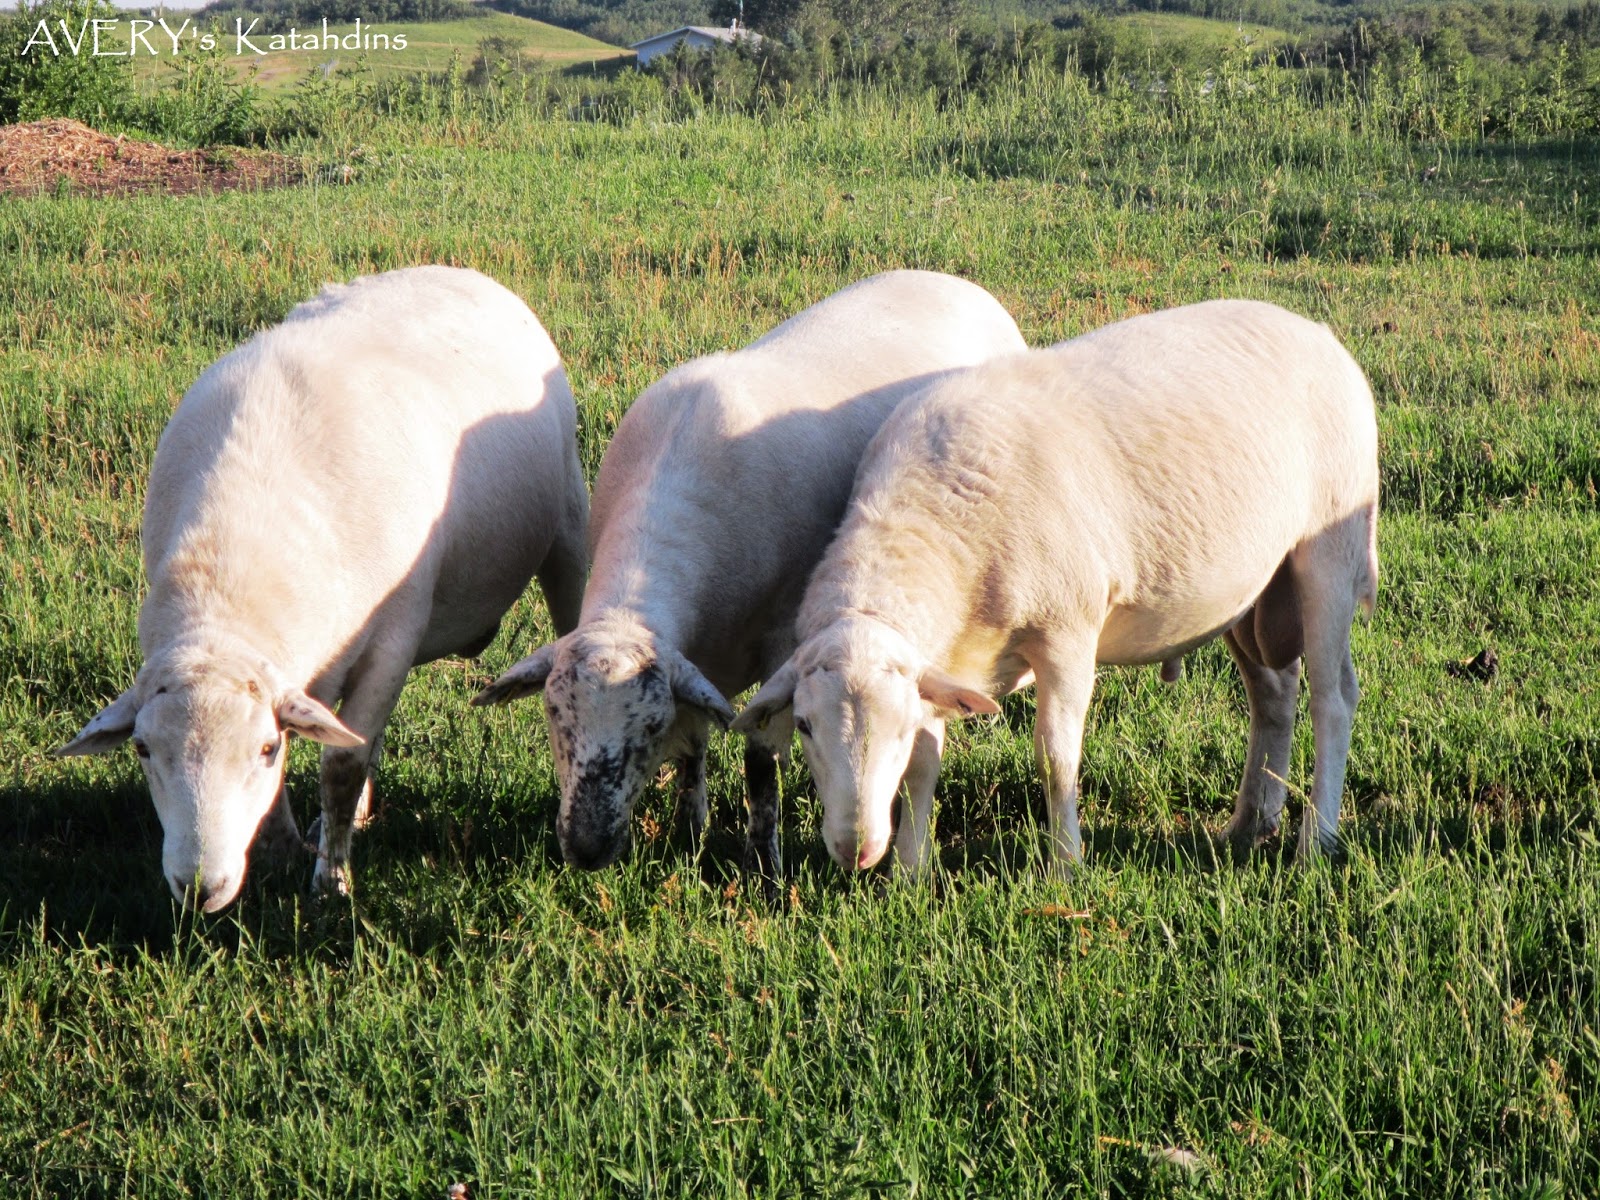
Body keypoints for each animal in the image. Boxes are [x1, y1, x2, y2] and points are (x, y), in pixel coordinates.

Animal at [55, 266, 589, 912]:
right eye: (141, 749)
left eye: (262, 748)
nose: (200, 888)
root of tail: (451, 268)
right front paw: (285, 851)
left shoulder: (392, 640)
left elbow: (342, 766)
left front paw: (331, 885)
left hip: (567, 525)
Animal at [472, 270, 1027, 873]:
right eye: (553, 712)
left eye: (647, 726)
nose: (586, 849)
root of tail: (953, 281)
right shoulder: (692, 661)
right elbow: (693, 748)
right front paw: (689, 837)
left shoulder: (782, 643)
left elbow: (760, 764)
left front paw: (765, 864)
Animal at [733, 299, 1380, 874]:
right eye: (804, 725)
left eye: (895, 725)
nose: (855, 851)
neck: (932, 525)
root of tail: (1317, 332)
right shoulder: (938, 660)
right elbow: (924, 764)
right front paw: (911, 876)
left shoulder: (1067, 632)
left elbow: (1055, 757)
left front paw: (1065, 868)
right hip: (1253, 589)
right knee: (1273, 691)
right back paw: (1250, 824)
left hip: (1329, 547)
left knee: (1332, 697)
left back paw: (1315, 841)